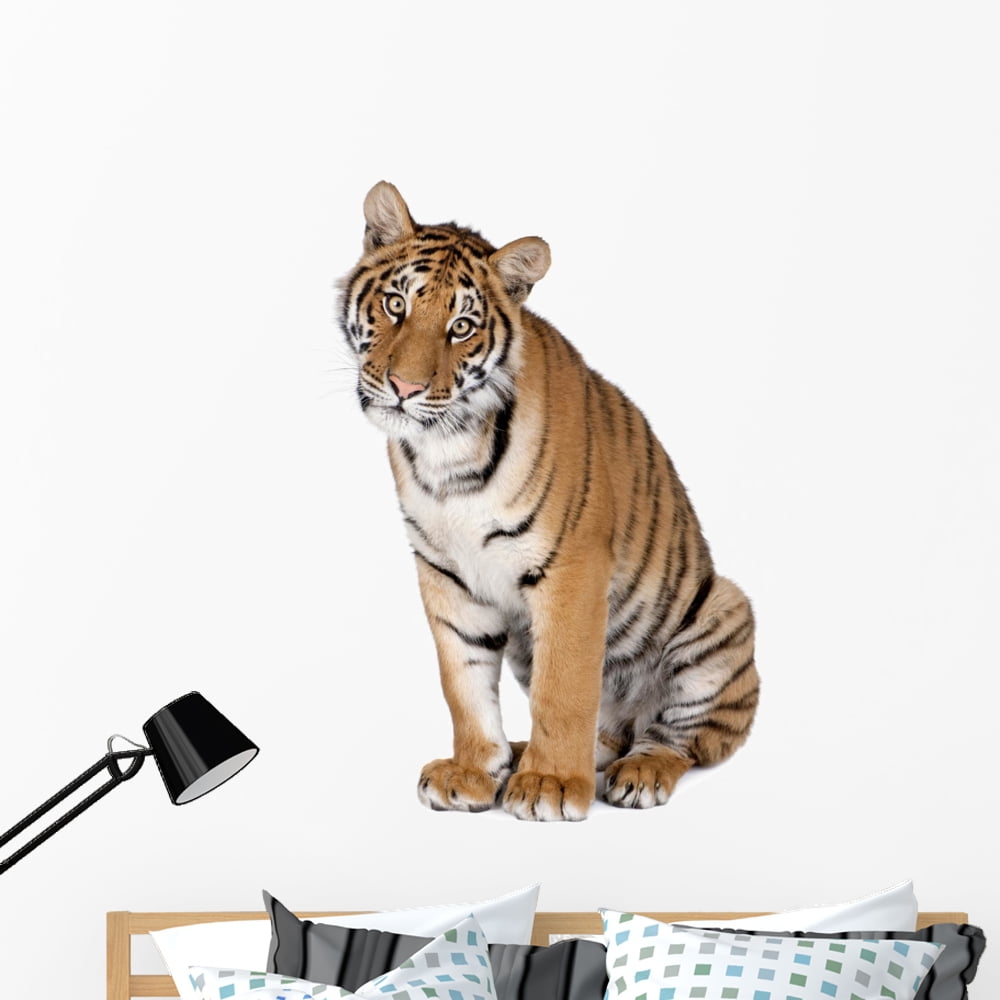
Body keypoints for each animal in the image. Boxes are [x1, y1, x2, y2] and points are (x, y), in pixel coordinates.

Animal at [338, 181, 759, 821]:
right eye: (395, 305)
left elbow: (564, 690)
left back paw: (636, 773)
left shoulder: (572, 569)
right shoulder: (445, 573)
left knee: (679, 739)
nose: (404, 388)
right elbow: (463, 684)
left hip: (721, 614)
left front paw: (551, 785)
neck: (446, 453)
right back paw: (523, 754)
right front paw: (472, 771)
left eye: (461, 327)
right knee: (608, 733)